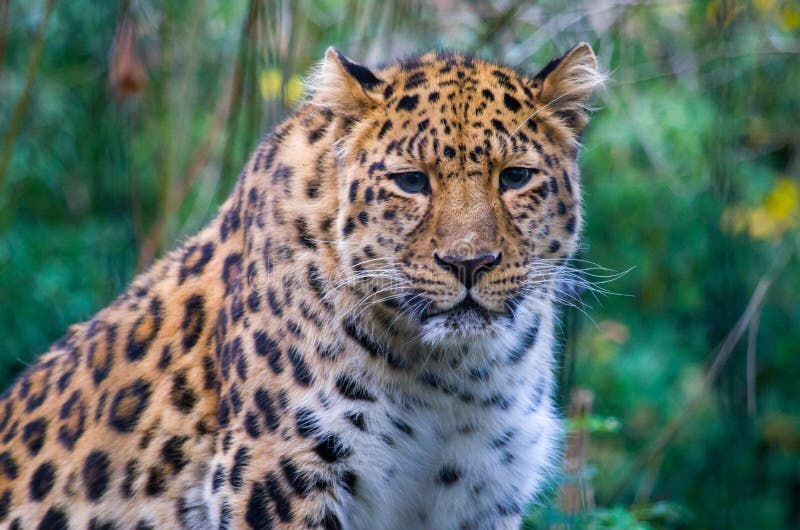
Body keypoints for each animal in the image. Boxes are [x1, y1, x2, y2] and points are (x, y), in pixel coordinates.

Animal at [0, 43, 601, 529]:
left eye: (515, 177)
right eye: (411, 182)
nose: (470, 263)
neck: (454, 374)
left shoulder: (484, 488)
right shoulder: (277, 476)